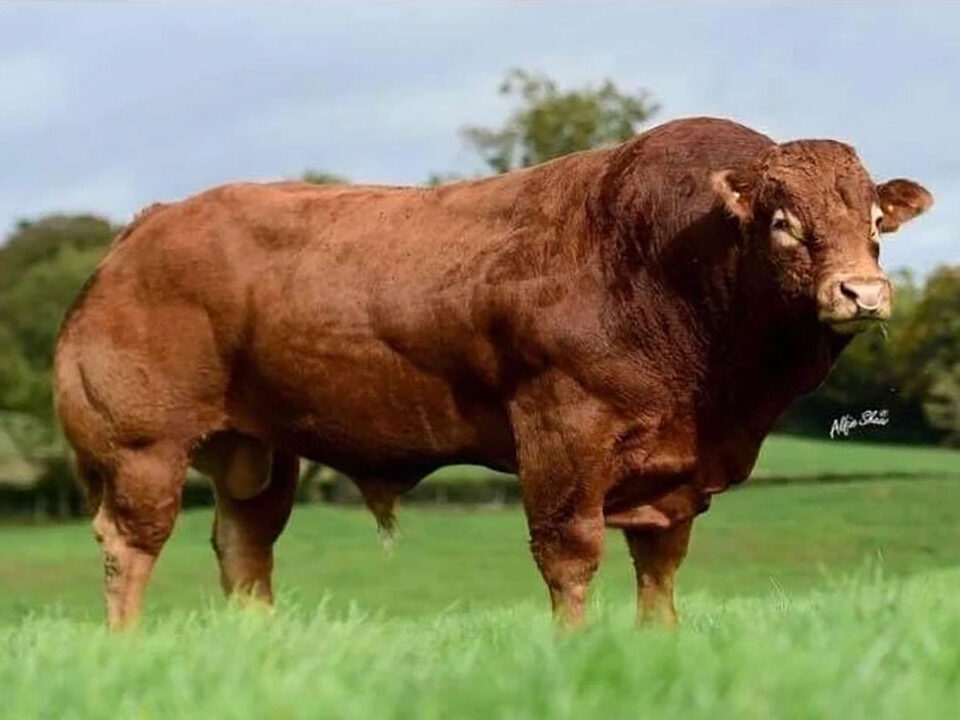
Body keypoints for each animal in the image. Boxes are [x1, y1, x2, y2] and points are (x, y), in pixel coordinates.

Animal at [53, 117, 932, 628]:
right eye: (785, 223)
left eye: (874, 220)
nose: (862, 292)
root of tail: (144, 229)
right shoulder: (560, 435)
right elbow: (570, 555)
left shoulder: (673, 471)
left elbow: (660, 567)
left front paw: (660, 644)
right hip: (143, 448)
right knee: (130, 544)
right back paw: (127, 647)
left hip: (257, 451)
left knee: (243, 548)